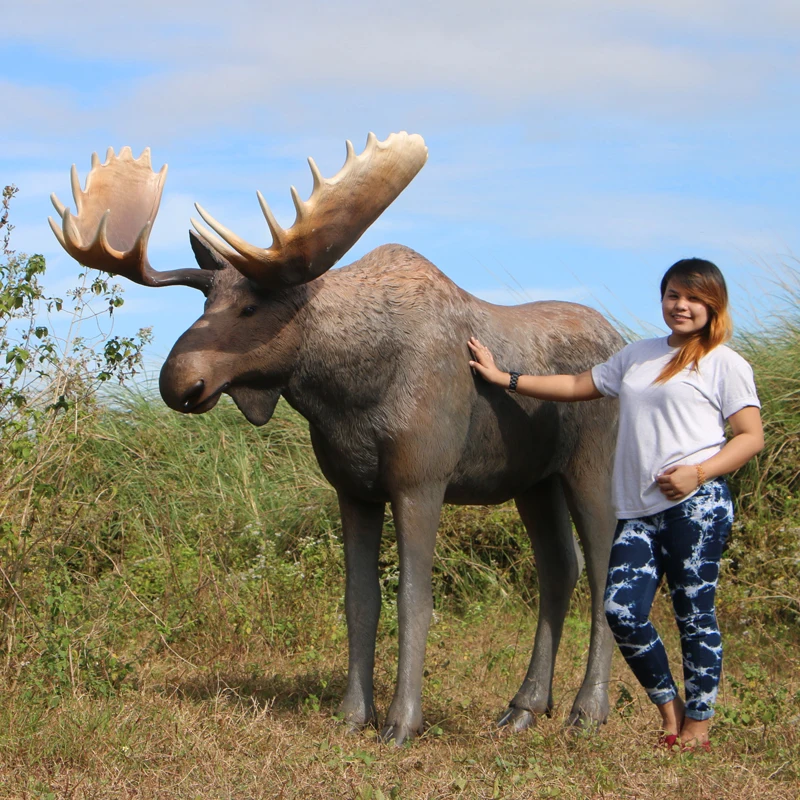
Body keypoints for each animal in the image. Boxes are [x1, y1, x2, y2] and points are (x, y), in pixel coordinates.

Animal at [49, 133, 623, 745]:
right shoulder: (353, 488)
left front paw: (401, 721)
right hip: (535, 483)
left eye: (252, 306)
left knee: (602, 568)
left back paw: (588, 709)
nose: (179, 382)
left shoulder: (421, 481)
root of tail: (618, 340)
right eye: (205, 303)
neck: (346, 392)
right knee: (559, 569)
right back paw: (524, 706)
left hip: (591, 468)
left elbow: (414, 599)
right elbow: (359, 600)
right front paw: (352, 714)